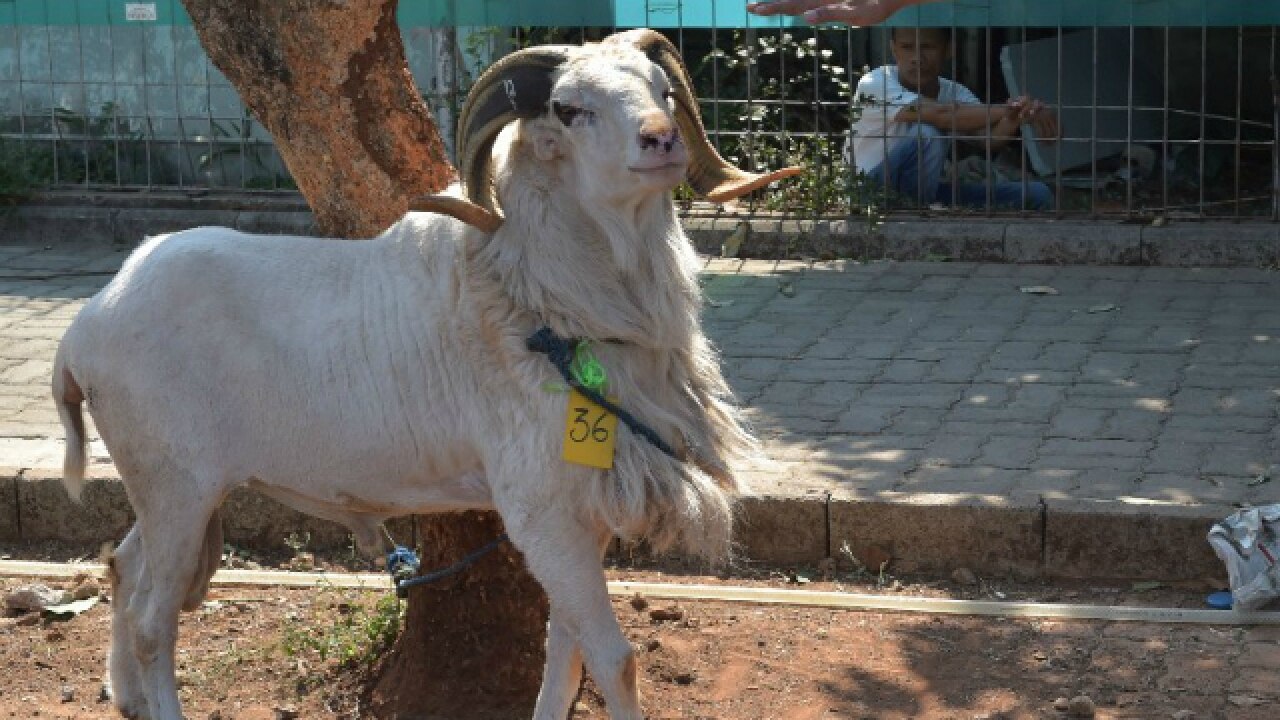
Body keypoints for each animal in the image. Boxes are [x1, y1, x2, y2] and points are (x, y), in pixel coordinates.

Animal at [53, 29, 798, 720]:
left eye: (662, 89)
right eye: (567, 108)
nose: (661, 140)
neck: (541, 299)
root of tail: (88, 325)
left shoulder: (586, 516)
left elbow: (566, 653)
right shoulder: (543, 515)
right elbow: (614, 660)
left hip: (170, 494)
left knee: (122, 569)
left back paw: (126, 697)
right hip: (176, 490)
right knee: (153, 622)